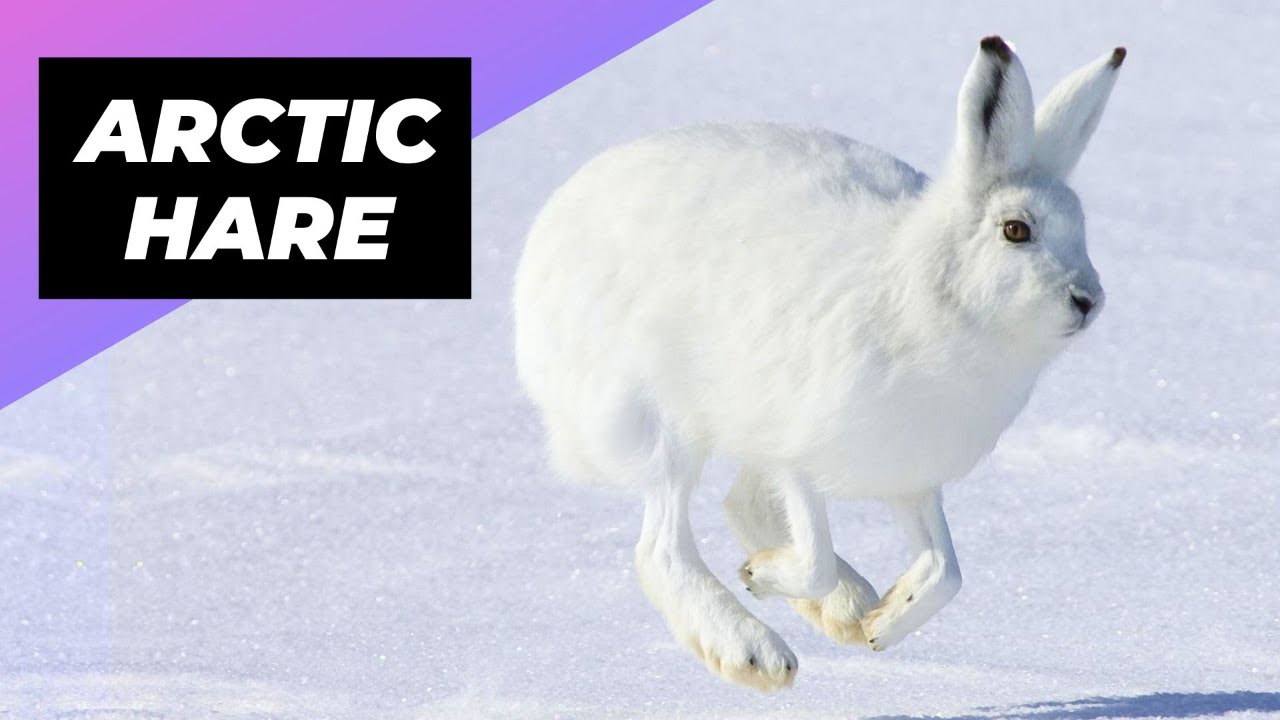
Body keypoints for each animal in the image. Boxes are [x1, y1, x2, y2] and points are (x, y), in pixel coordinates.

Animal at [513, 36, 1124, 691]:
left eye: (1081, 229)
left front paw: (881, 624)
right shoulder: (797, 450)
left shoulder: (911, 475)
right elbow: (815, 559)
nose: (1088, 300)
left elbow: (946, 570)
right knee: (663, 545)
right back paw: (753, 651)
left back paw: (849, 609)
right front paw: (762, 579)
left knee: (740, 506)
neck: (932, 296)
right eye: (1015, 230)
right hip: (662, 420)